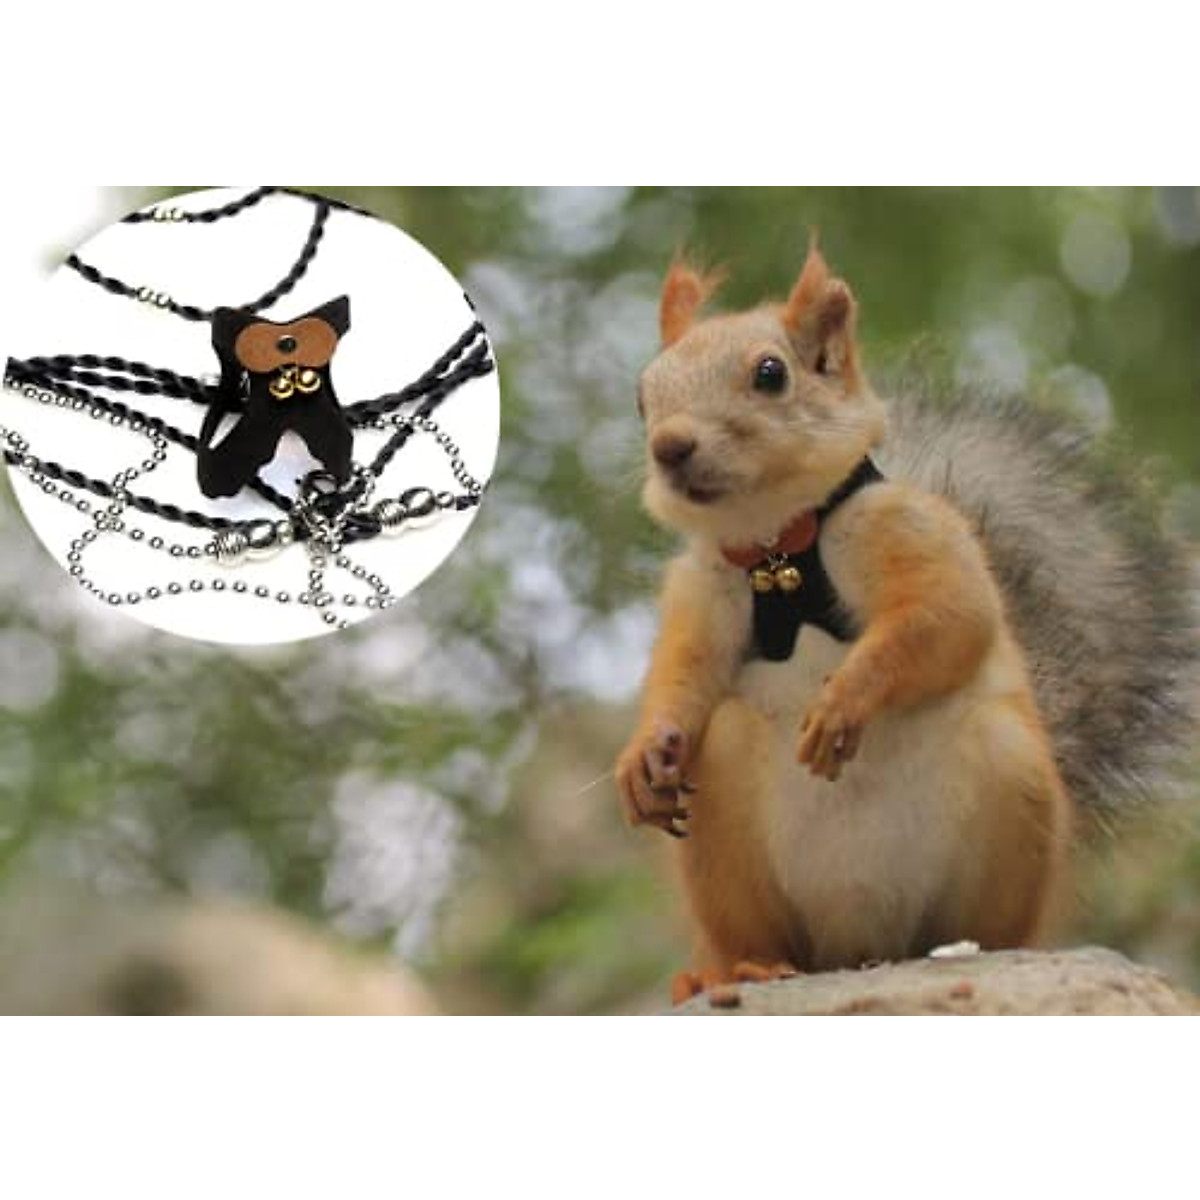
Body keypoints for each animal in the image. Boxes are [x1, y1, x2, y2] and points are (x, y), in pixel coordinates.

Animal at [614, 242, 1197, 1003]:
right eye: (642, 395)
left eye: (771, 373)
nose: (671, 447)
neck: (779, 551)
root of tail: (866, 947)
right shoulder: (699, 593)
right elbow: (682, 675)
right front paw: (643, 756)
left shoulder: (913, 529)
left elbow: (946, 618)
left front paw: (843, 700)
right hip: (727, 825)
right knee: (754, 919)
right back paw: (744, 967)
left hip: (1012, 788)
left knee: (984, 919)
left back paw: (978, 949)